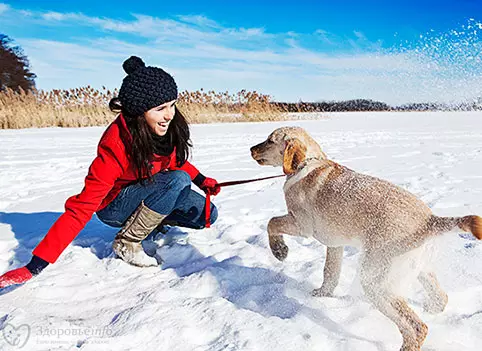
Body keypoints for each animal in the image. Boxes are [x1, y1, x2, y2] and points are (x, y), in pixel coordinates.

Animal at [250, 126, 480, 351]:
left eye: (270, 140)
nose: (251, 149)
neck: (306, 163)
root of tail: (429, 221)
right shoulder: (335, 245)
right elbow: (330, 273)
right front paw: (322, 295)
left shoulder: (301, 224)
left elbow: (271, 223)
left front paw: (279, 251)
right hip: (418, 269)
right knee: (441, 299)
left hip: (375, 282)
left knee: (416, 327)